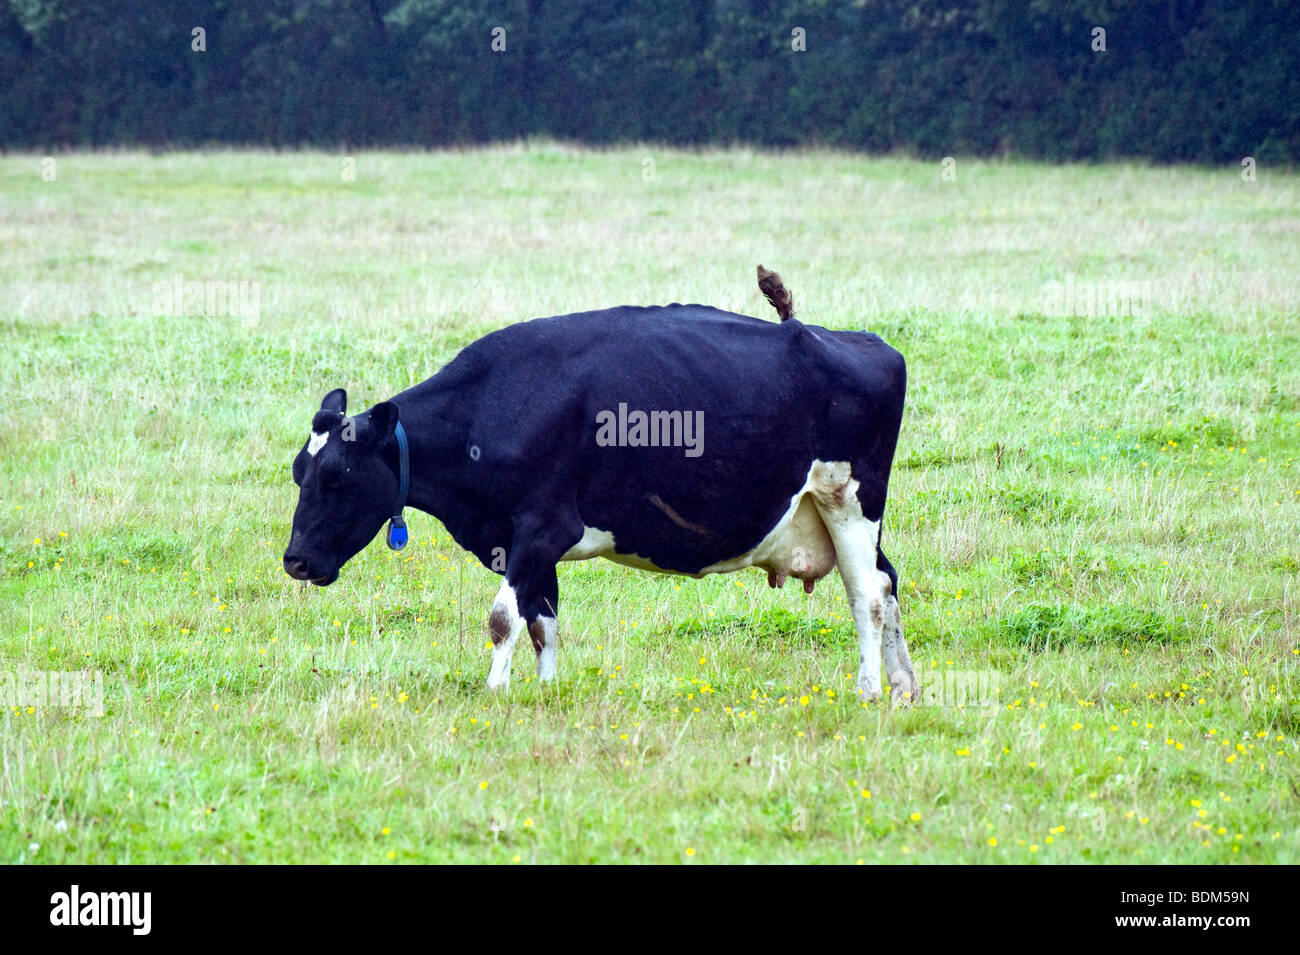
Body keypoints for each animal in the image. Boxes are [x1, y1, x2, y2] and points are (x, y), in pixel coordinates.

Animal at [283, 268, 918, 702]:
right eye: (298, 472)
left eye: (336, 476)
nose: (294, 561)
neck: (494, 405)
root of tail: (851, 338)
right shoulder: (524, 543)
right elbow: (542, 620)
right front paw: (545, 692)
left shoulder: (543, 527)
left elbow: (504, 617)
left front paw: (494, 692)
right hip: (833, 511)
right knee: (887, 580)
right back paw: (904, 684)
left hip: (848, 499)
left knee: (866, 593)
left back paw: (869, 688)